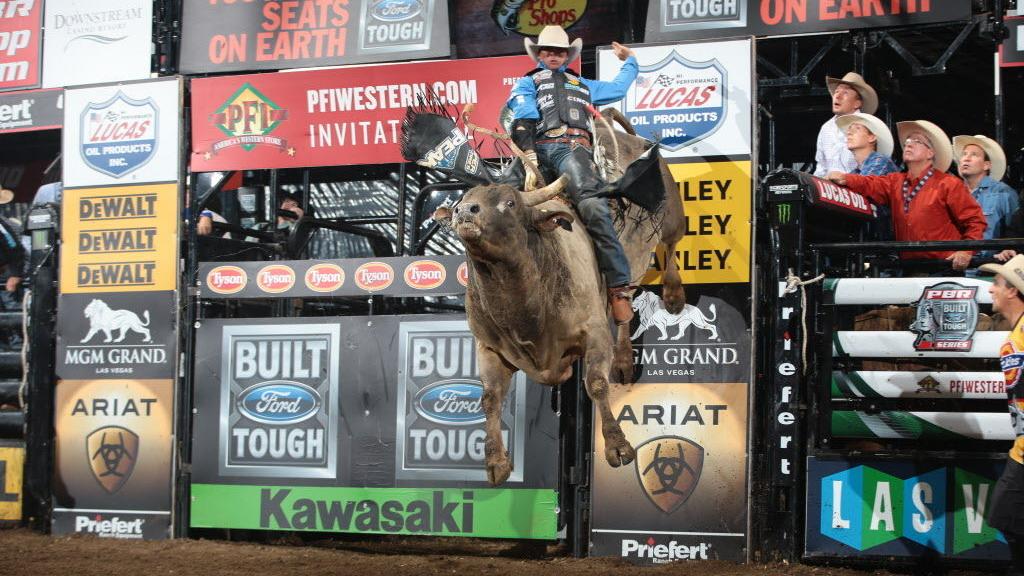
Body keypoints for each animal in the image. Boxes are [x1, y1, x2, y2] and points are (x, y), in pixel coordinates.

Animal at [401, 103, 685, 485]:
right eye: (464, 199)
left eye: (509, 202)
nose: (463, 212)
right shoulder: (488, 347)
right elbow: (489, 397)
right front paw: (496, 463)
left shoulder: (594, 331)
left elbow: (596, 383)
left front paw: (617, 447)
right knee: (627, 302)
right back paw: (625, 359)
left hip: (670, 212)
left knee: (670, 246)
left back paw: (672, 297)